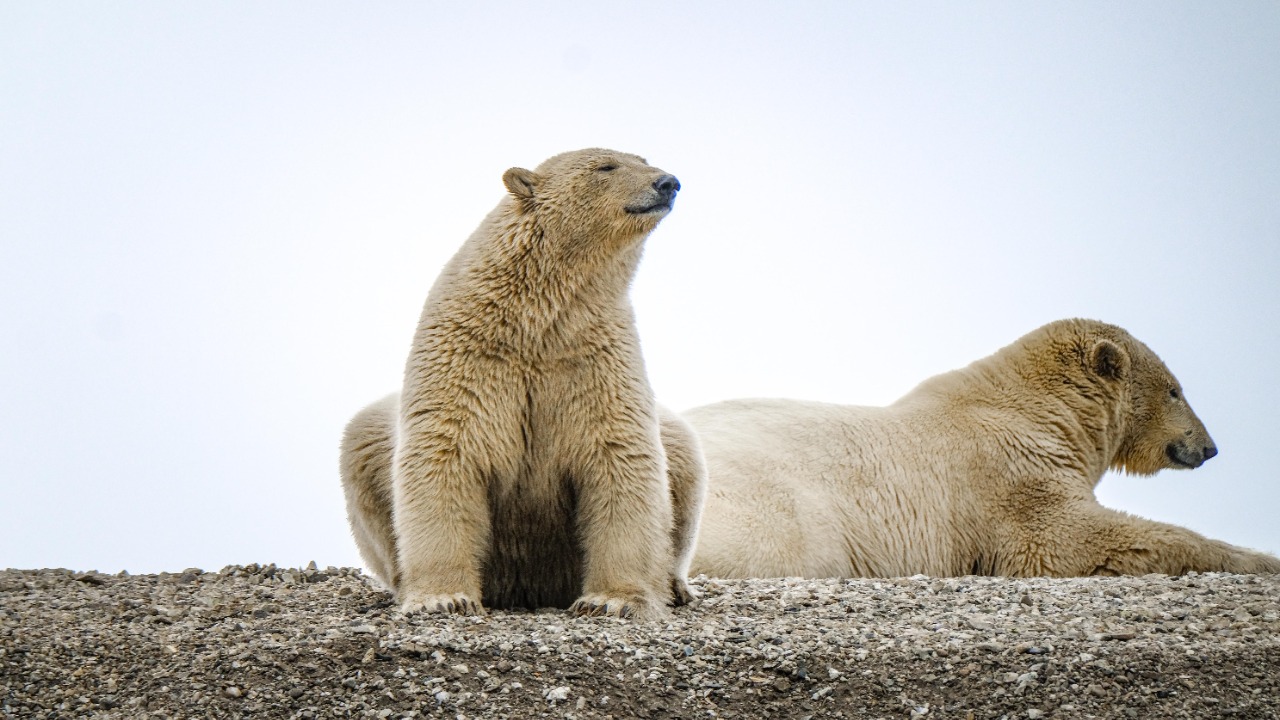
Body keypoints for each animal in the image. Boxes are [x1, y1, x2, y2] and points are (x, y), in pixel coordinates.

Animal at [340, 148, 707, 619]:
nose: (668, 183)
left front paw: (611, 600)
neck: (535, 322)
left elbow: (620, 456)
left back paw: (676, 585)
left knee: (682, 452)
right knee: (362, 442)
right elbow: (445, 454)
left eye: (643, 159)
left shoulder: (594, 358)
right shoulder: (470, 357)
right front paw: (444, 598)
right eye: (606, 166)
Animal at [687, 318, 1280, 579]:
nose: (1210, 447)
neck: (1041, 410)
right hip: (783, 510)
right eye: (1176, 390)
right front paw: (1259, 558)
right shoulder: (1008, 476)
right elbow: (1071, 539)